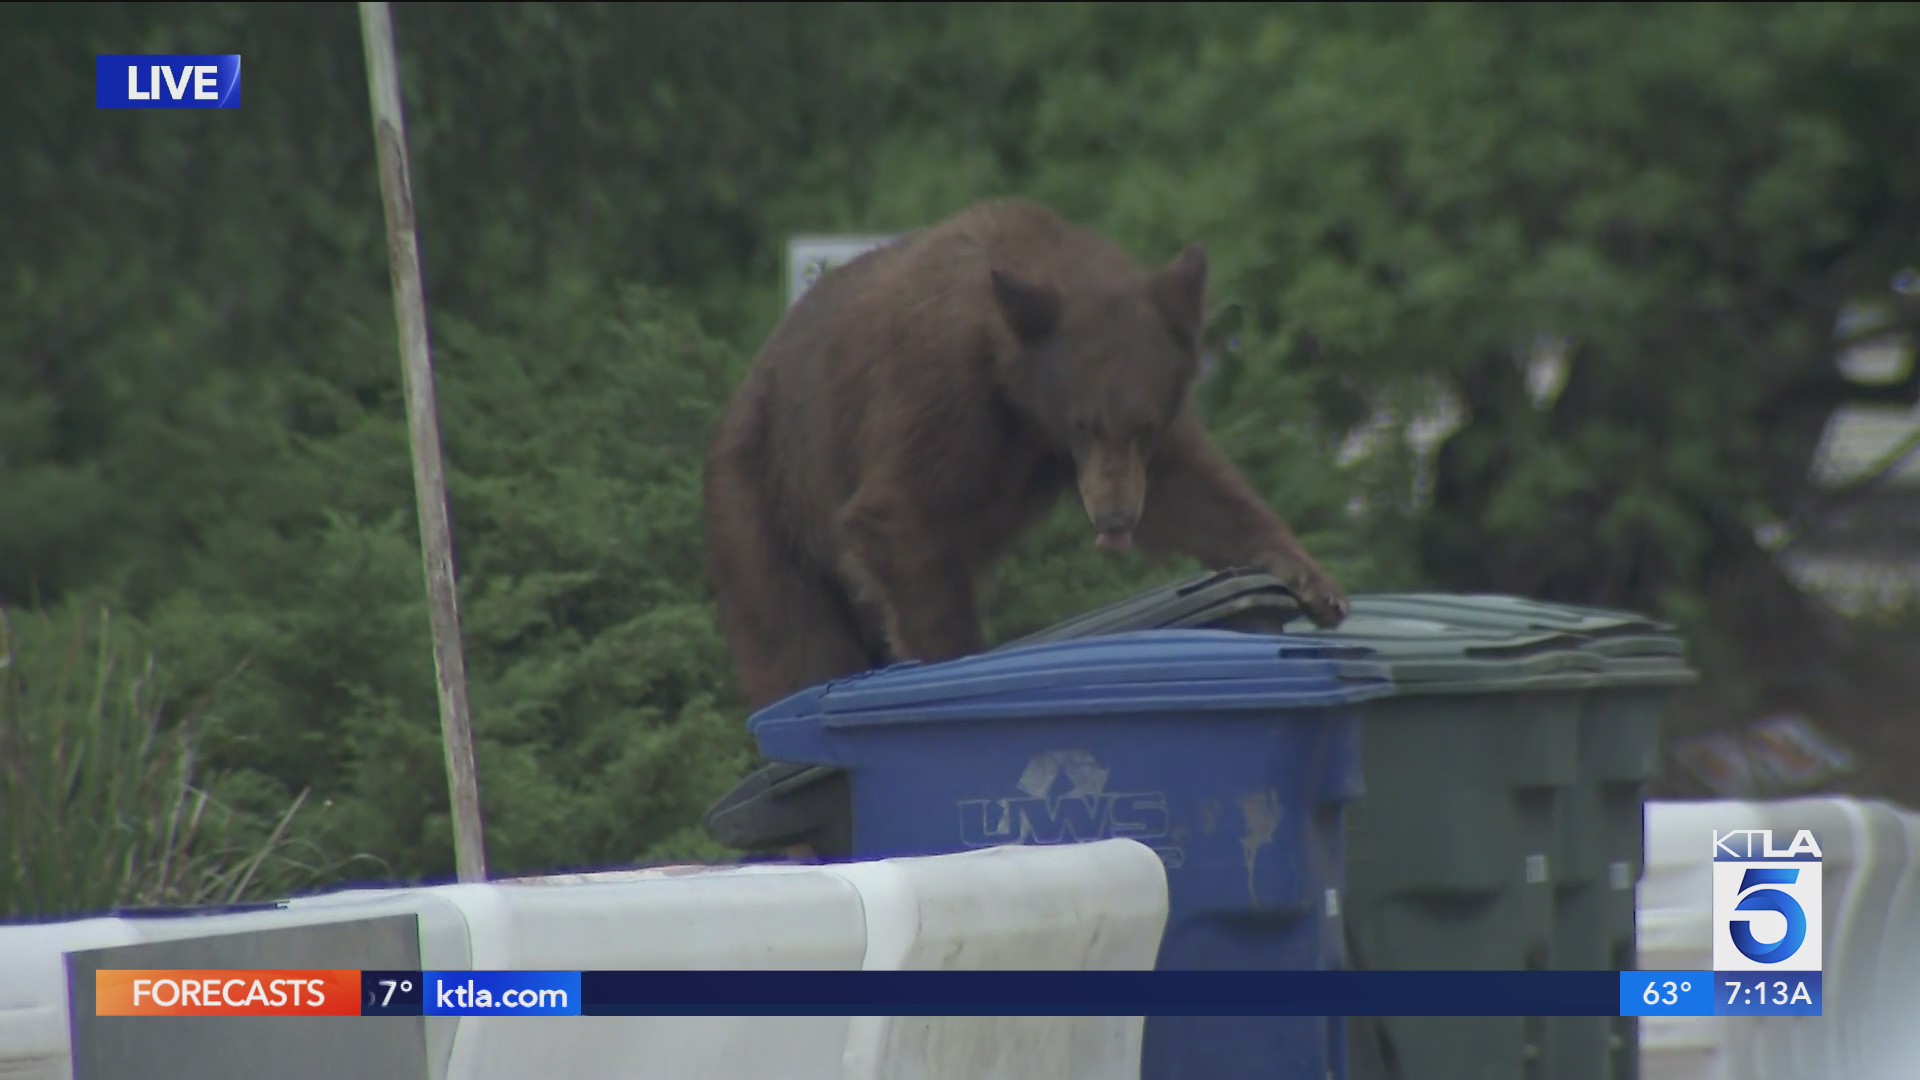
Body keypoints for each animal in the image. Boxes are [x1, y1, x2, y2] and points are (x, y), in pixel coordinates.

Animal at [702, 198, 1350, 710]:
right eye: (1085, 423)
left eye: (1140, 425)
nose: (1115, 518)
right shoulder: (938, 393)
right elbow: (900, 514)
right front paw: (958, 658)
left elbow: (1191, 487)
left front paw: (1310, 578)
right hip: (764, 509)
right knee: (795, 636)